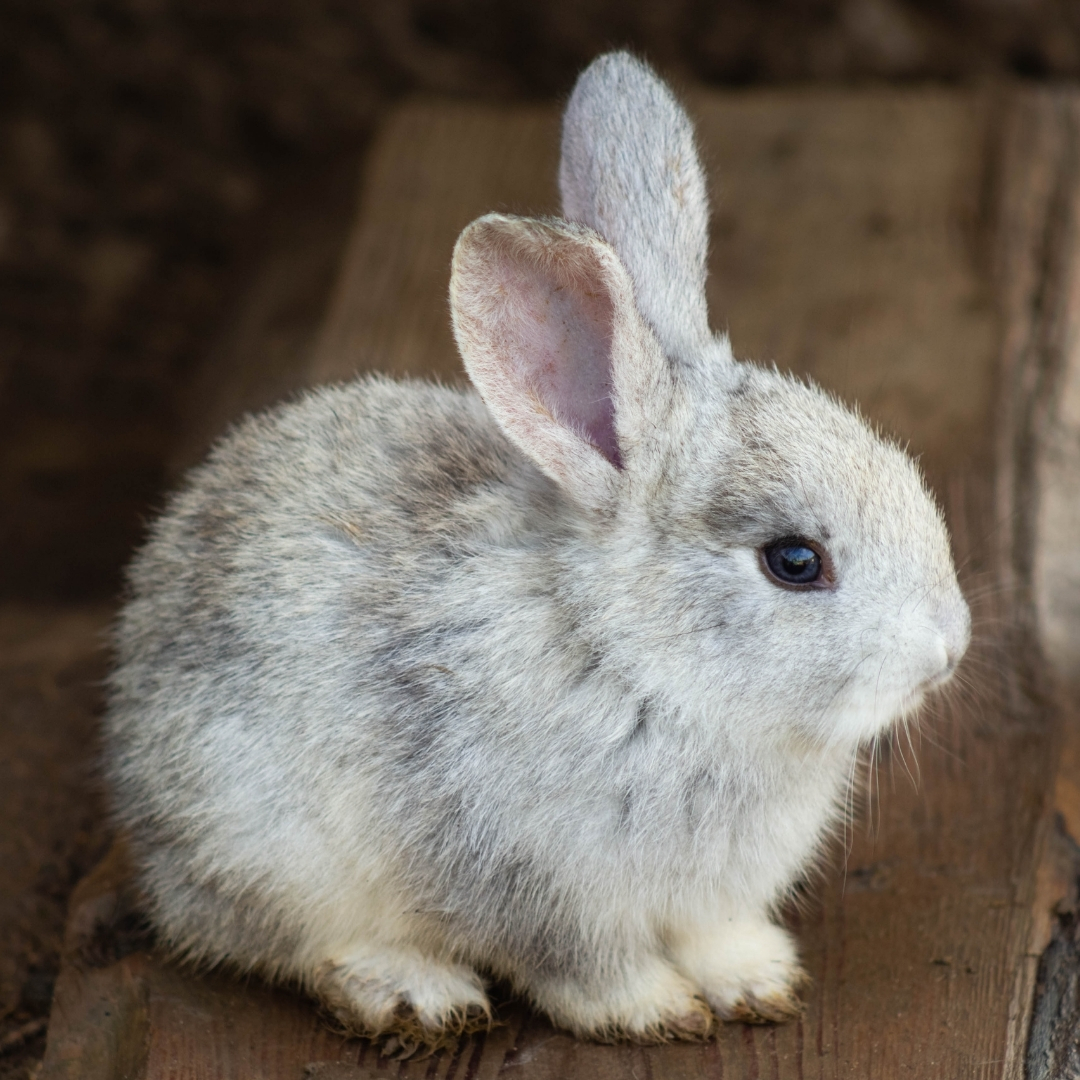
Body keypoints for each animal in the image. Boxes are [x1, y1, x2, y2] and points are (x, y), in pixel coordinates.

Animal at [104, 51, 971, 1047]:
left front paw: (757, 982)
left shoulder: (707, 898)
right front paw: (654, 1012)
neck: (635, 661)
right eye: (794, 562)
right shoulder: (534, 883)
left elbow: (716, 935)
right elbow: (583, 968)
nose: (949, 649)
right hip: (265, 845)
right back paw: (414, 992)